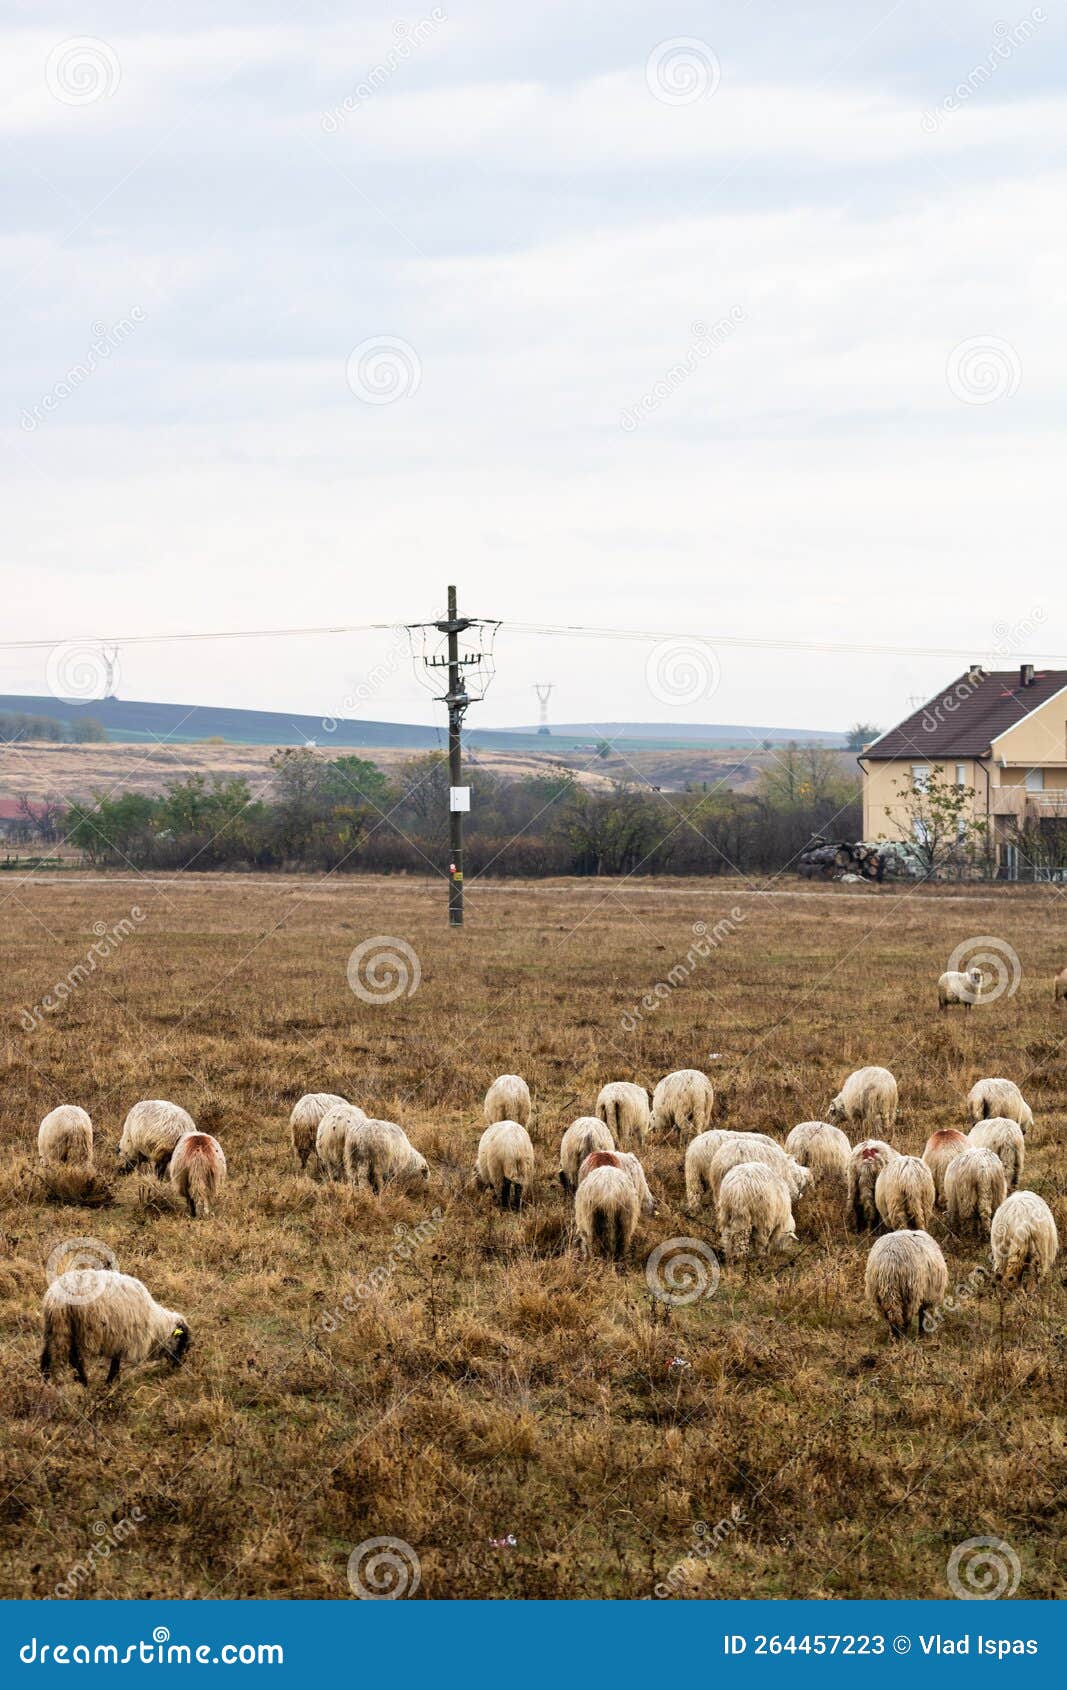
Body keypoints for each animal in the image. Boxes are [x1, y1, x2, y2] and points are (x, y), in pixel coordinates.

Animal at [40, 1269, 191, 1387]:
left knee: (48, 1354)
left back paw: (46, 1381)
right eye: (182, 1341)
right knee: (75, 1359)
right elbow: (115, 1362)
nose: (179, 1366)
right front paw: (111, 1382)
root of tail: (56, 1298)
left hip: (57, 1329)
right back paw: (84, 1383)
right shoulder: (122, 1338)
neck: (155, 1325)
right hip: (82, 1331)